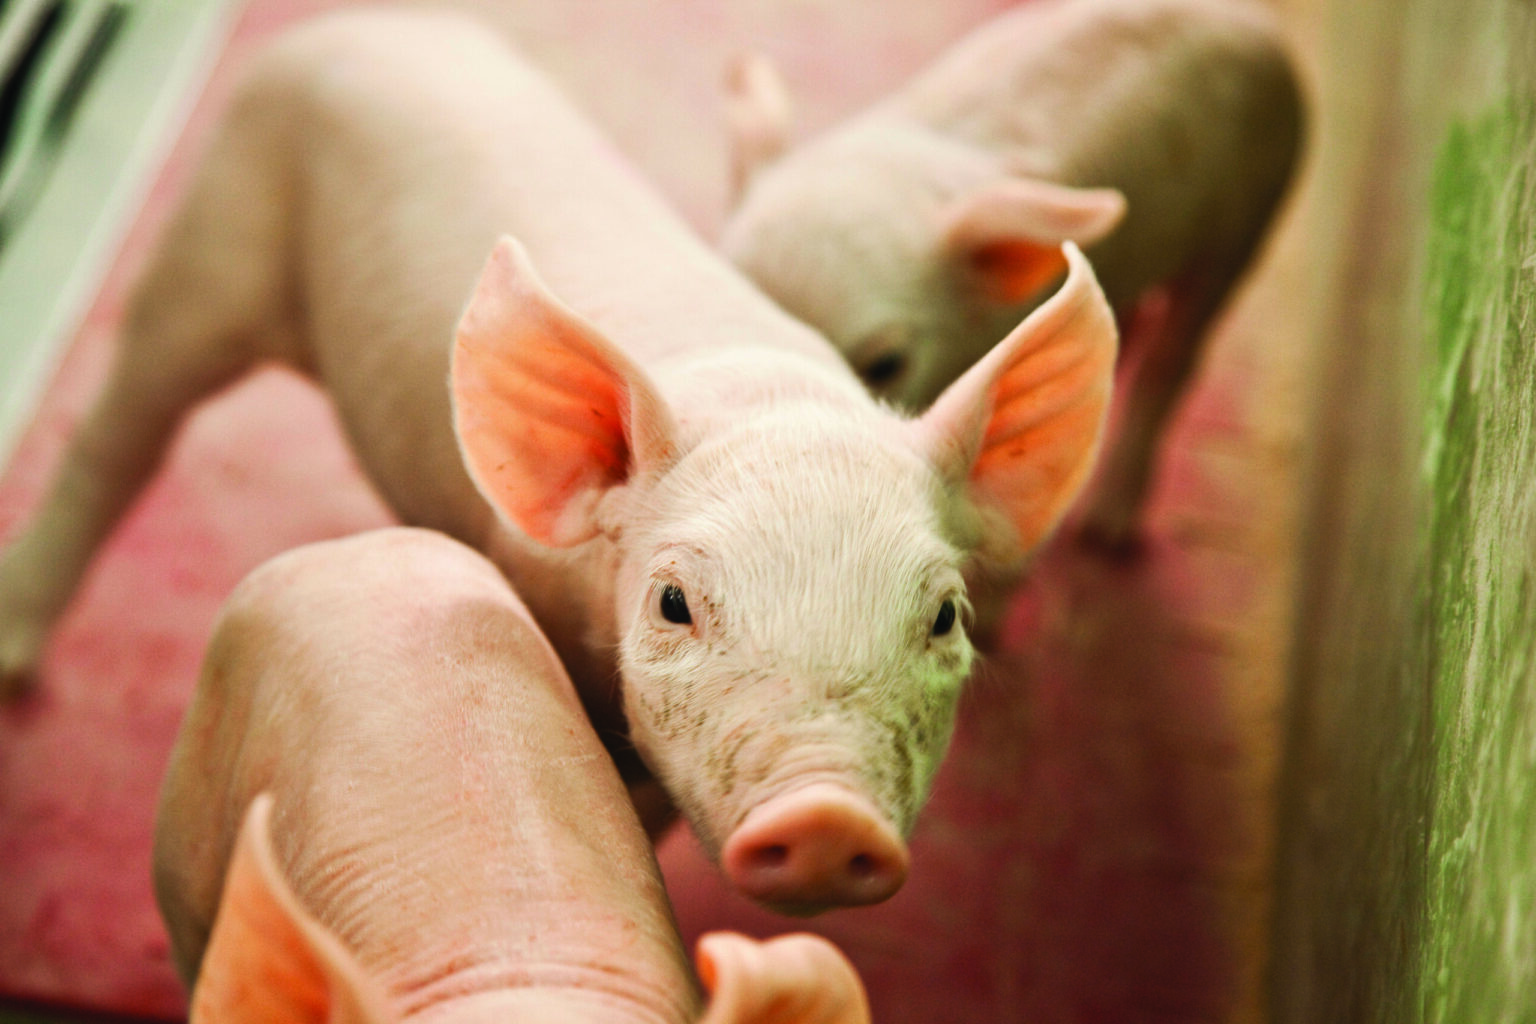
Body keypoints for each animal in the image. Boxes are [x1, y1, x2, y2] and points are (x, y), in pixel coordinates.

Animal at [0, 8, 1117, 910]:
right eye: (672, 602)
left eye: (945, 616)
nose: (827, 816)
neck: (763, 394)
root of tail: (368, 23)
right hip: (212, 236)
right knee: (123, 424)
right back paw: (19, 665)